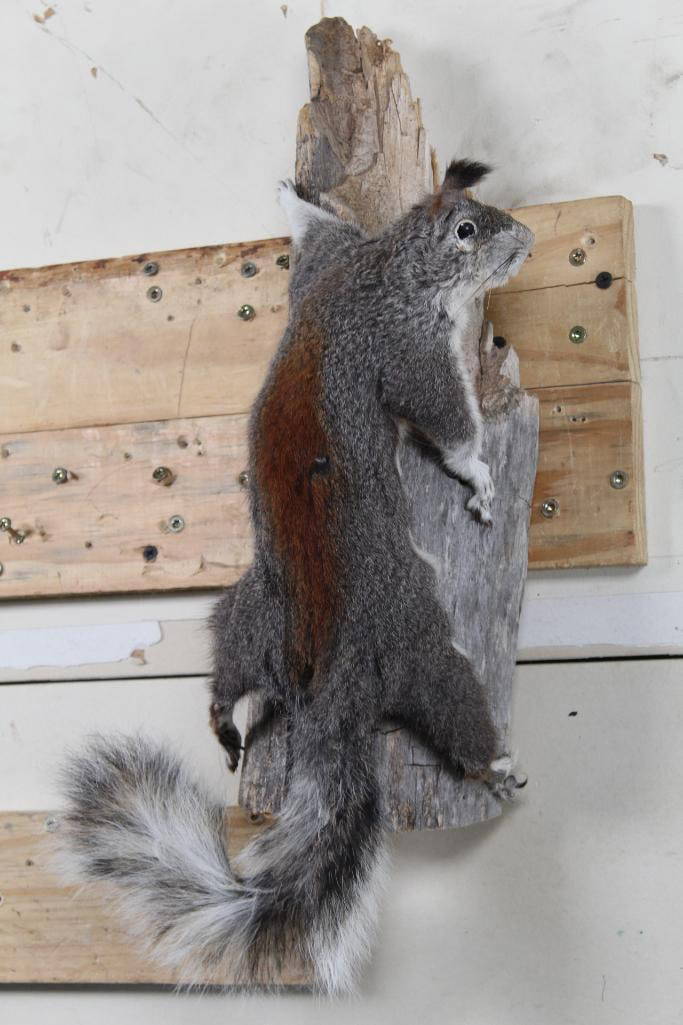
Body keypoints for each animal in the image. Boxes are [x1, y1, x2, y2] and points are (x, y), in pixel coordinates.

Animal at [58, 160, 534, 994]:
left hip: (251, 612)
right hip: (418, 646)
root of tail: (327, 686)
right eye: (469, 229)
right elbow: (446, 422)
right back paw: (495, 761)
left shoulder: (324, 264)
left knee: (229, 673)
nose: (528, 238)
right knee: (455, 706)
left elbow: (315, 231)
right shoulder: (405, 349)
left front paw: (293, 196)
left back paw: (224, 716)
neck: (383, 269)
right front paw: (477, 475)